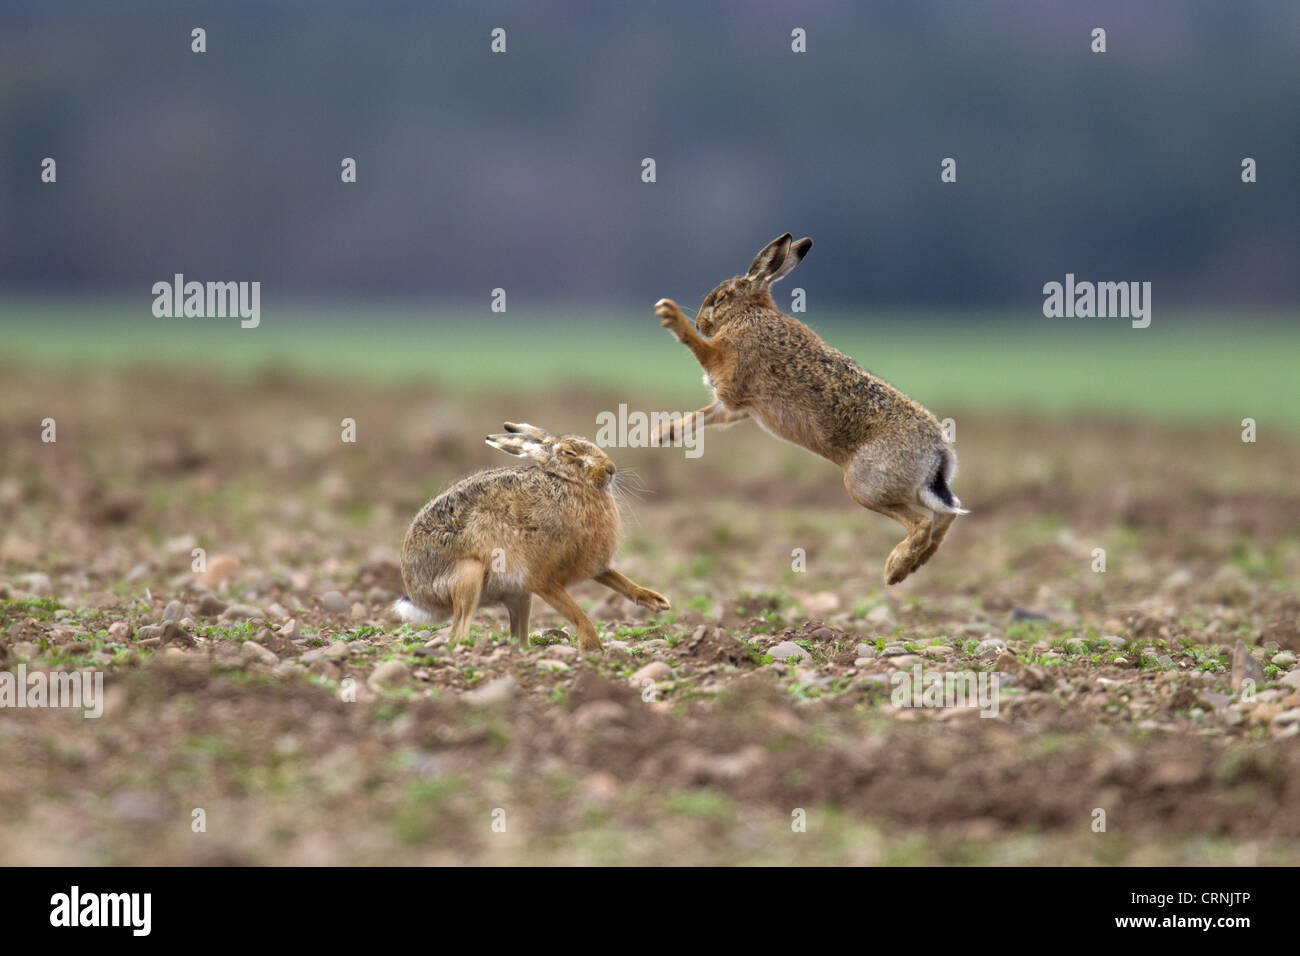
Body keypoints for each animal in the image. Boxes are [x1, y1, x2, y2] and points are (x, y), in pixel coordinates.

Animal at [392, 422, 670, 653]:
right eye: (569, 453)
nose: (610, 470)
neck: (566, 484)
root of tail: (418, 597)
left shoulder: (588, 564)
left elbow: (615, 578)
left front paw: (657, 602)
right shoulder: (541, 578)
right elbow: (575, 611)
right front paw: (592, 647)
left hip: (519, 597)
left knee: (518, 636)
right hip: (468, 575)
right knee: (457, 634)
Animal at [653, 233, 967, 585]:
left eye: (721, 298)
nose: (701, 322)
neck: (749, 313)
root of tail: (938, 451)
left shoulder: (729, 371)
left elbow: (702, 351)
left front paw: (671, 317)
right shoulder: (736, 406)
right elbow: (705, 415)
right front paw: (660, 434)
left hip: (865, 486)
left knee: (922, 522)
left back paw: (895, 569)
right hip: (911, 490)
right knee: (945, 515)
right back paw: (913, 565)